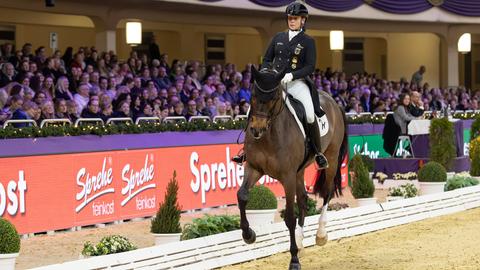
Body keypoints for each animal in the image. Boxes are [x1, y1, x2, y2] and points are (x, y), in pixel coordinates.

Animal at [238, 66, 346, 268]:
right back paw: (302, 242)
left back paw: (320, 235)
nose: (256, 129)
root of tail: (333, 101)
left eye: (274, 98)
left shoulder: (287, 176)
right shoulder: (254, 168)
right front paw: (249, 235)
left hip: (332, 158)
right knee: (303, 199)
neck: (269, 135)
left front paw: (294, 259)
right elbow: (242, 196)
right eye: (253, 95)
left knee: (327, 193)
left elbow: (289, 216)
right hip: (300, 170)